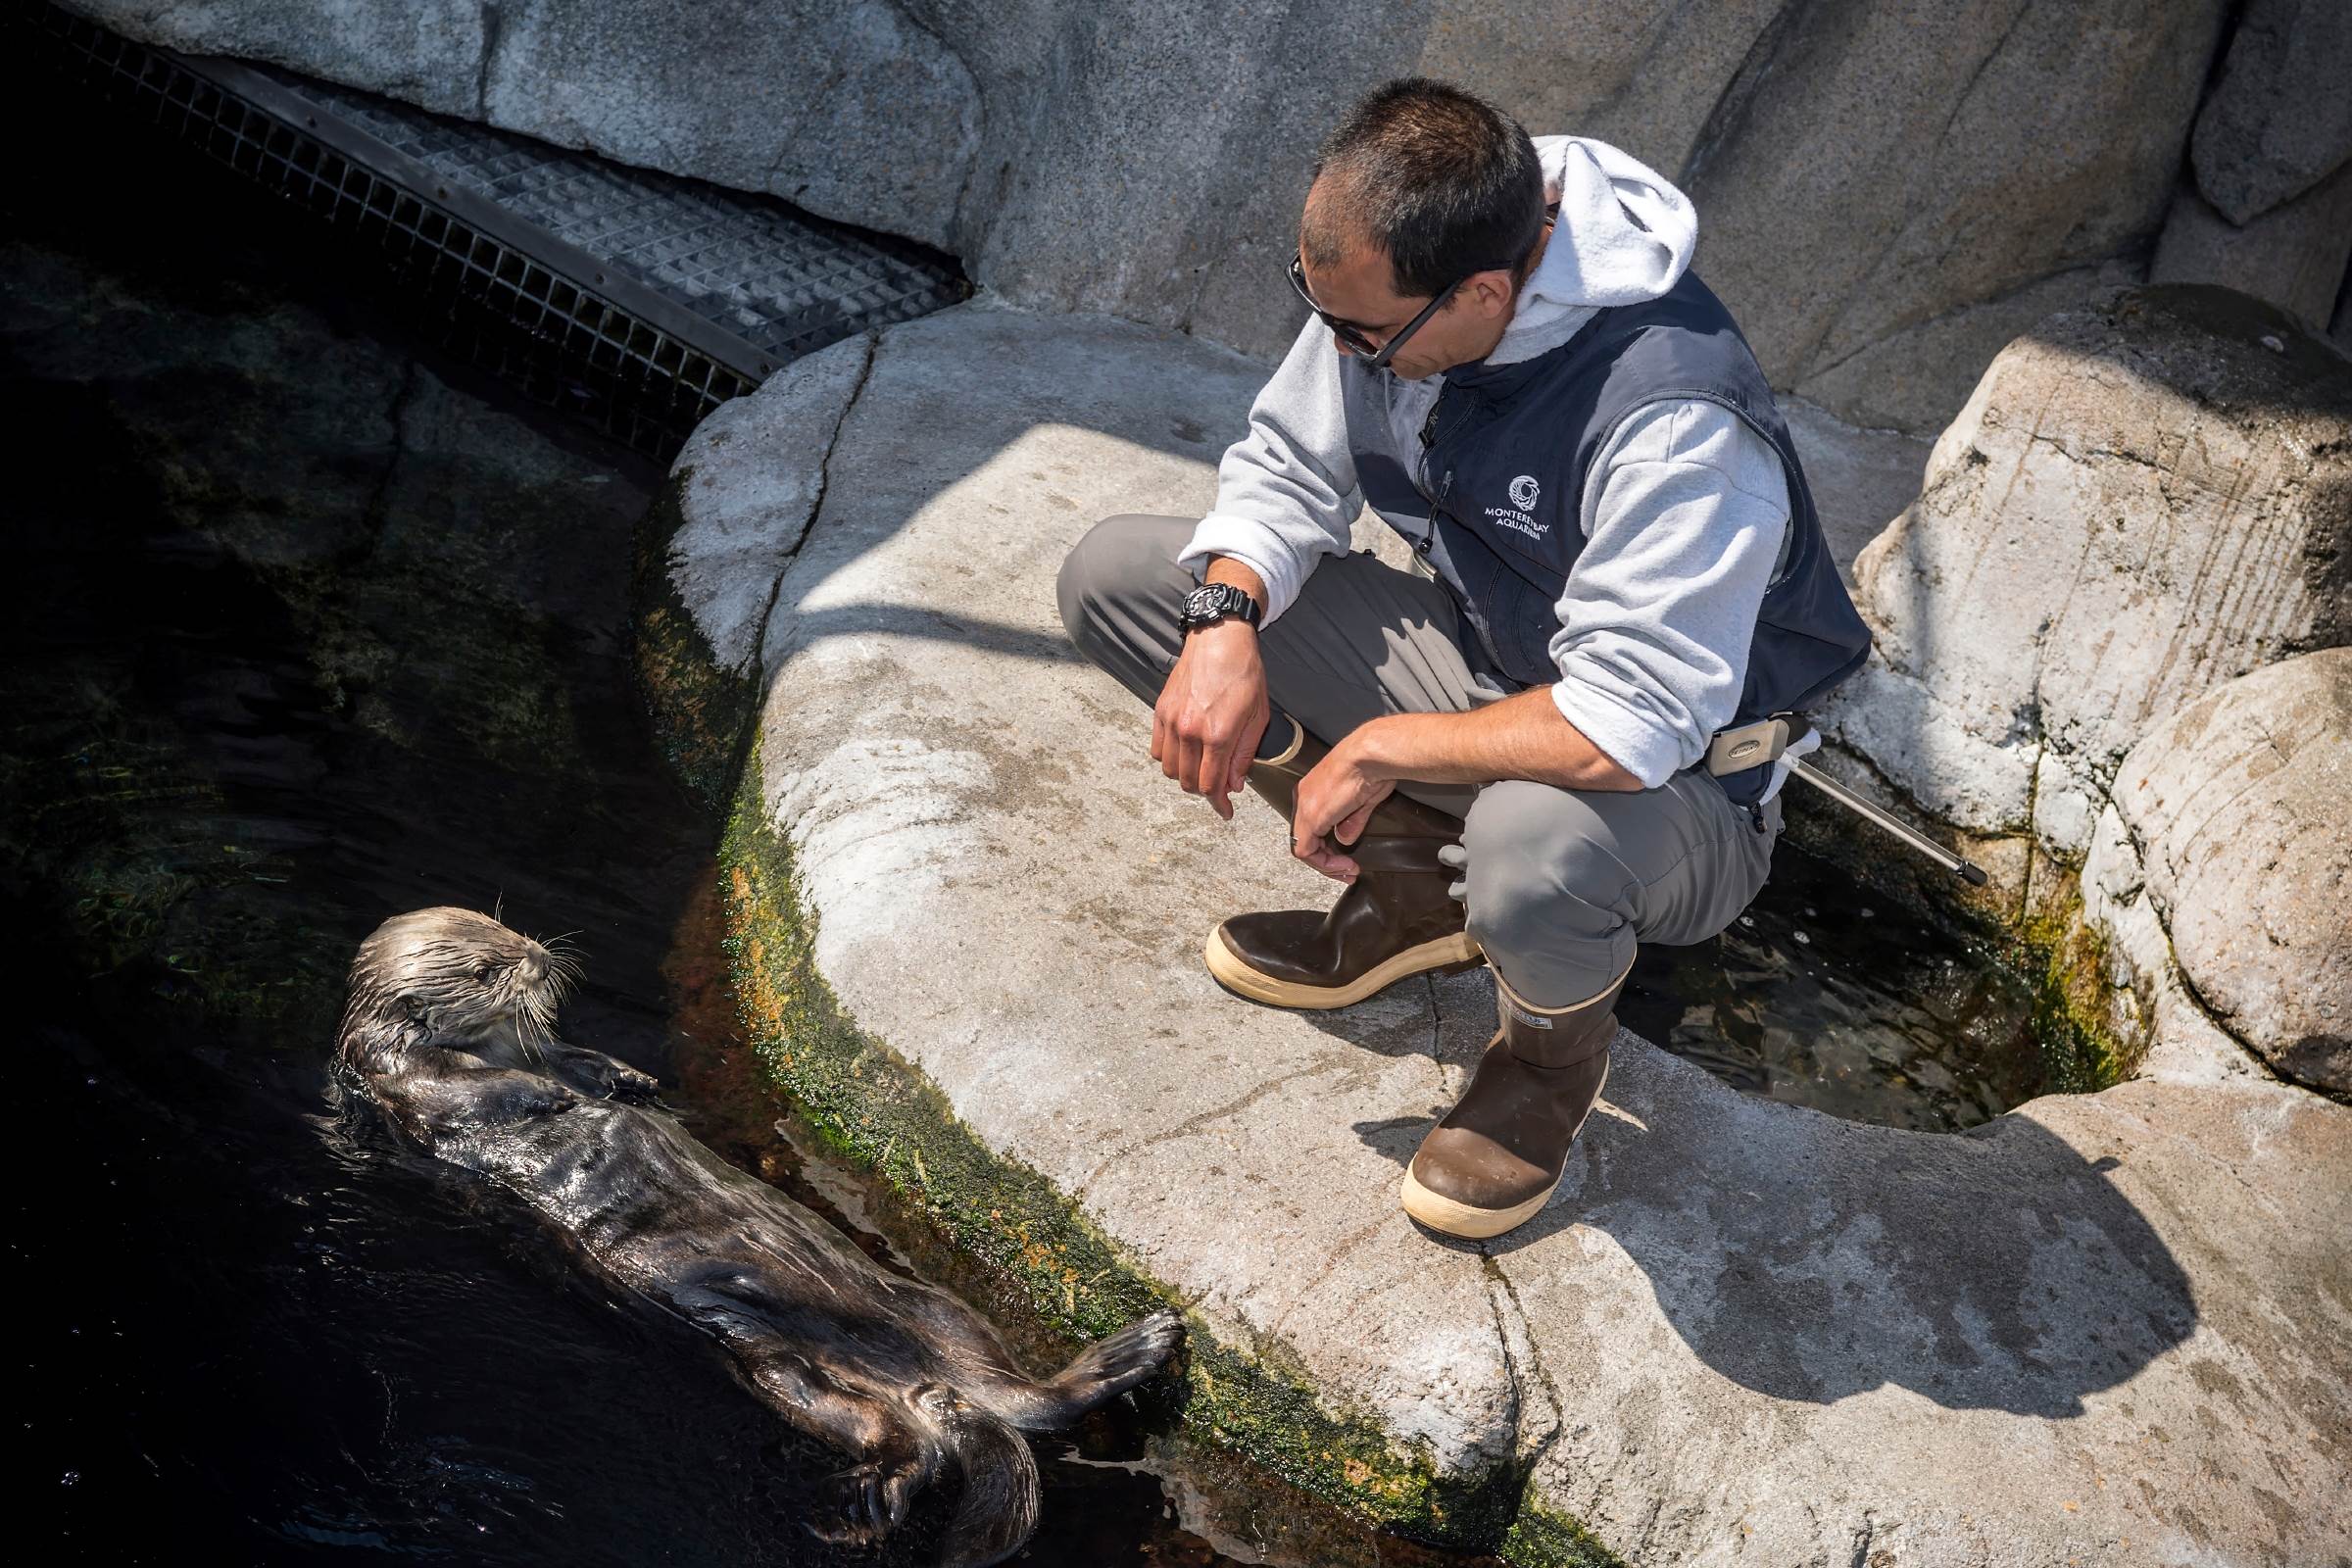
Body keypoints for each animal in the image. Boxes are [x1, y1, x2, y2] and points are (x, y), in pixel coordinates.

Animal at [336, 906, 1182, 1567]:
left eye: (505, 927)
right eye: (487, 968)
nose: (544, 960)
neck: (494, 1048)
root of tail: (937, 1393)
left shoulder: (530, 1050)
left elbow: (569, 1057)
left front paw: (625, 1080)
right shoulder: (409, 1086)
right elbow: (472, 1089)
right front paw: (552, 1098)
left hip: (930, 1306)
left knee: (1027, 1398)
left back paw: (1139, 1347)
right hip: (777, 1368)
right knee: (898, 1442)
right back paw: (868, 1506)